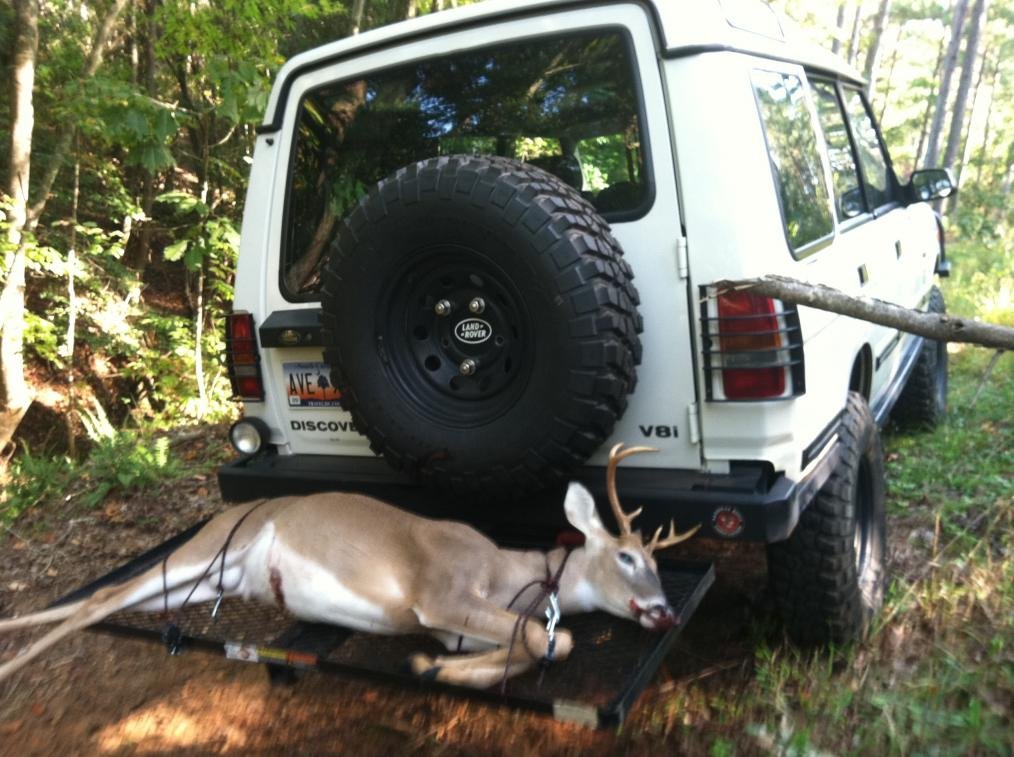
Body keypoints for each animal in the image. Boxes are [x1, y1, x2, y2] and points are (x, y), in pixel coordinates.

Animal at [0, 444, 698, 690]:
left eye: (657, 564)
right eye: (629, 556)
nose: (665, 614)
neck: (507, 571)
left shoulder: (450, 620)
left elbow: (538, 643)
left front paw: (435, 665)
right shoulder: (440, 592)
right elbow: (554, 636)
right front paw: (430, 666)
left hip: (203, 583)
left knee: (102, 598)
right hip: (206, 548)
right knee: (100, 599)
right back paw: (11, 664)